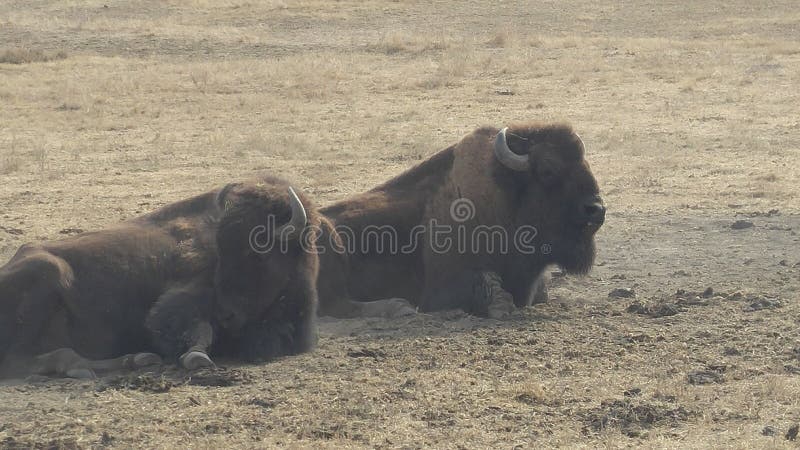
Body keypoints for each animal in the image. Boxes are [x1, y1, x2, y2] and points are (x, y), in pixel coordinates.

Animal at [0, 176, 319, 378]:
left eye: (259, 253)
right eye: (220, 250)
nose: (224, 313)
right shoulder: (177, 304)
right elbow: (196, 329)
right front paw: (197, 358)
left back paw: (136, 360)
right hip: (46, 272)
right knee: (21, 360)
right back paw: (88, 367)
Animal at [317, 122, 605, 318]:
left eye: (586, 164)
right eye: (547, 170)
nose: (597, 210)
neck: (506, 196)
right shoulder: (440, 291)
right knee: (335, 306)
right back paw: (399, 307)